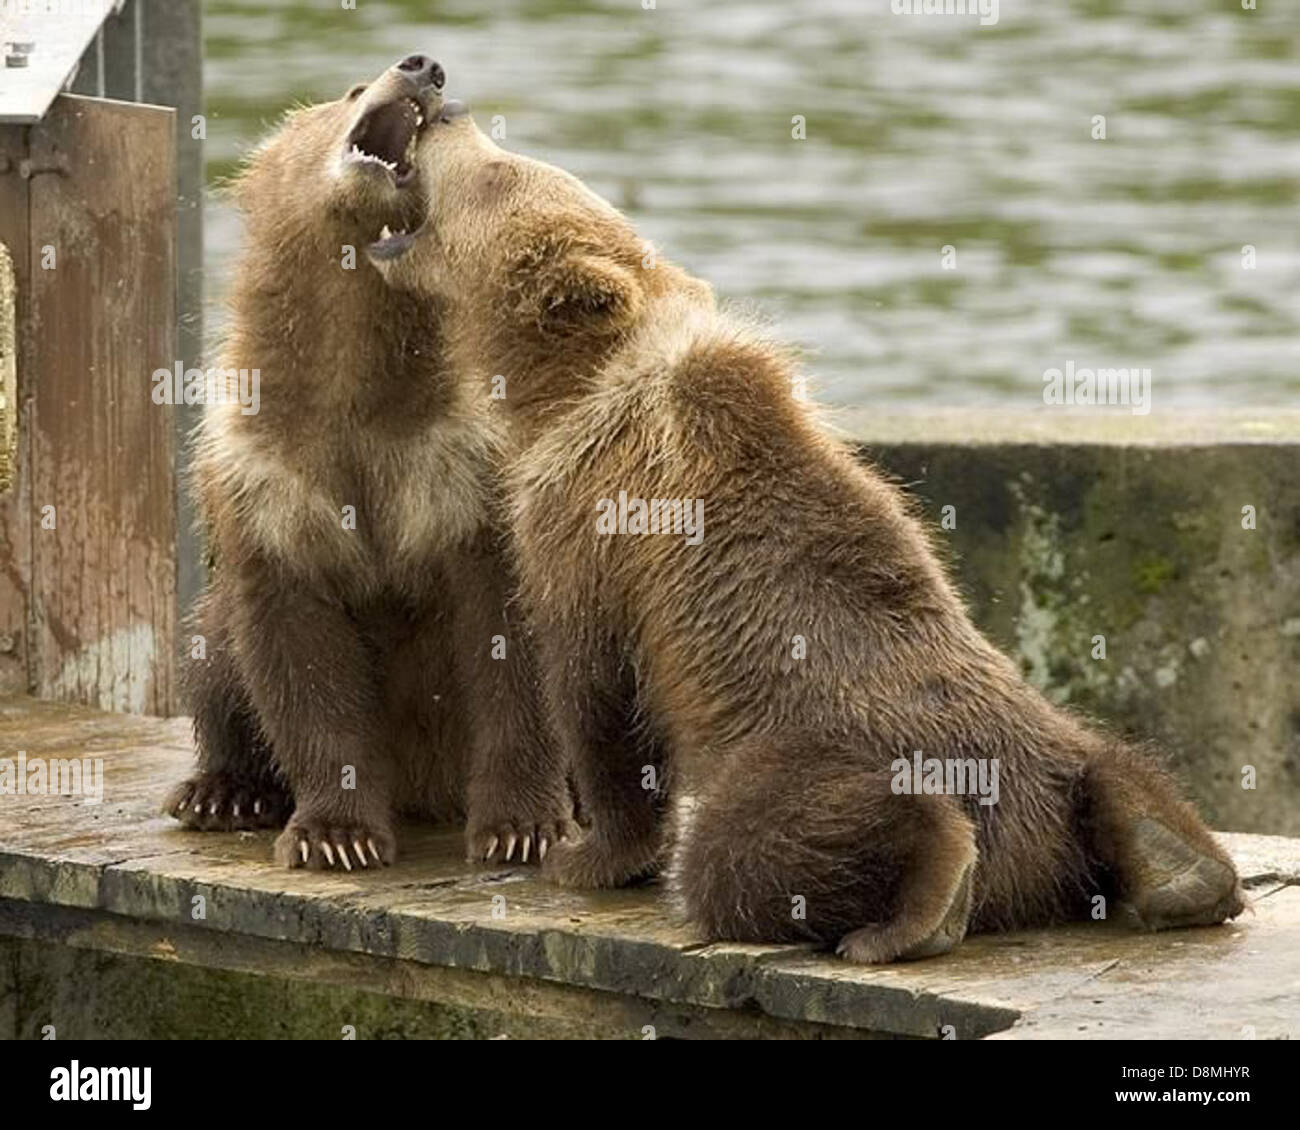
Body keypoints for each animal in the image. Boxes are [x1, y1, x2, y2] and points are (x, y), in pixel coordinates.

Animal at [163, 59, 574, 870]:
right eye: (352, 90)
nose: (424, 67)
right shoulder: (268, 471)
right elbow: (297, 654)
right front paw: (335, 834)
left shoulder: (468, 466)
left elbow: (510, 645)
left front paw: (521, 825)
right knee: (213, 654)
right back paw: (221, 790)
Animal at [368, 98, 1245, 959]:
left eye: (500, 171)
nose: (445, 107)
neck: (564, 391)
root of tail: (1029, 856)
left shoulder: (588, 528)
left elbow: (595, 690)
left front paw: (586, 854)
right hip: (1046, 737)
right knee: (1116, 764)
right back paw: (1182, 872)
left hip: (797, 746)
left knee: (747, 848)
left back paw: (931, 889)